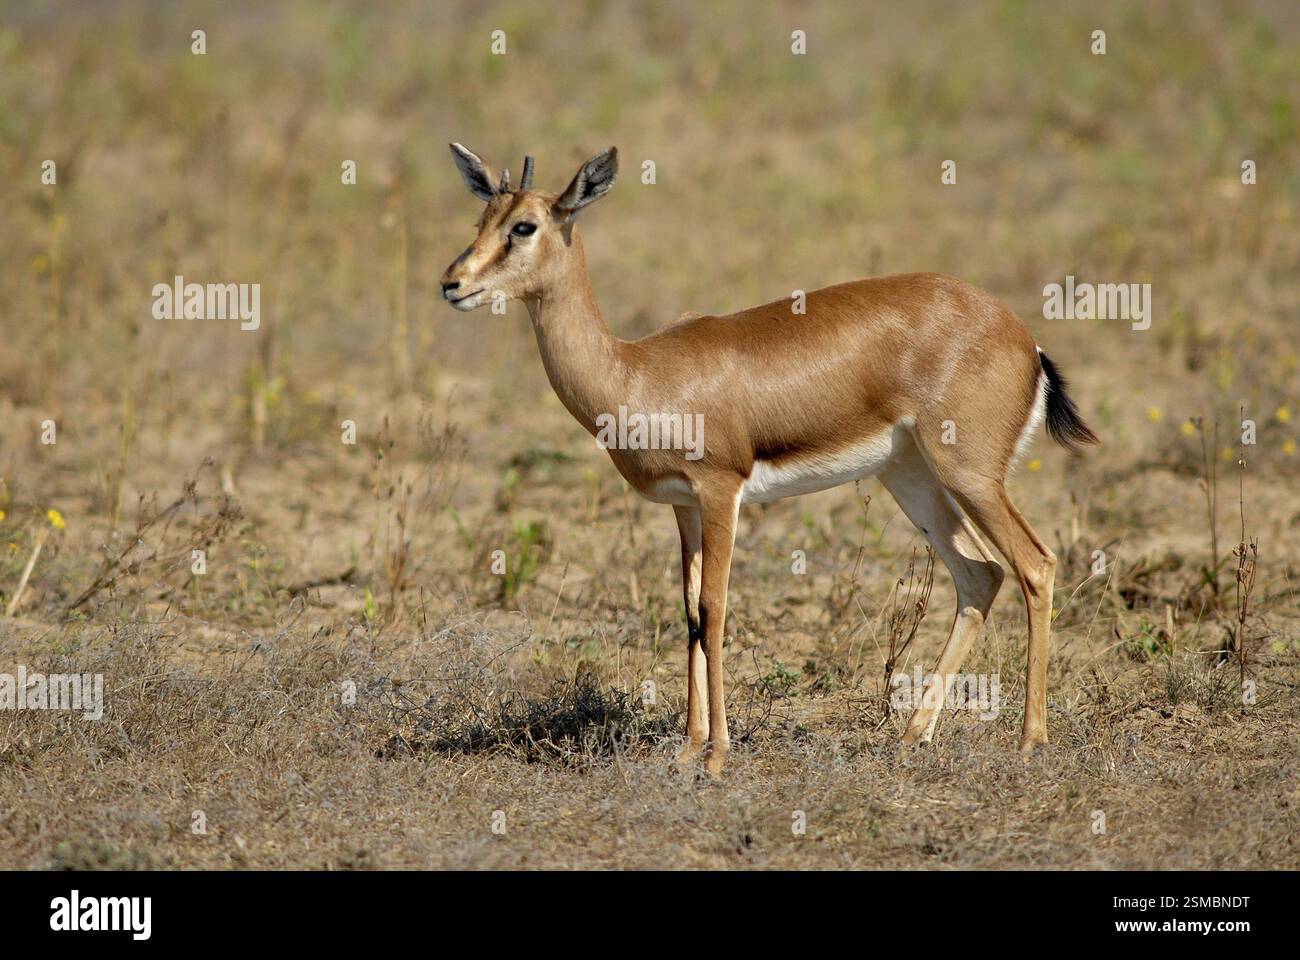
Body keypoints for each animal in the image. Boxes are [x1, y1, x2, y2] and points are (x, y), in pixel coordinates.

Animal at [441, 144, 1098, 777]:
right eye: (481, 218)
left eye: (524, 226)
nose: (452, 283)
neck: (636, 371)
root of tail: (1025, 340)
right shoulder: (684, 507)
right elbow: (689, 614)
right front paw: (688, 750)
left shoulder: (720, 491)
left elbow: (715, 608)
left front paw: (716, 757)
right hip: (909, 476)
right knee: (980, 573)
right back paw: (913, 738)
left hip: (970, 475)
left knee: (1035, 564)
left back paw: (1029, 744)